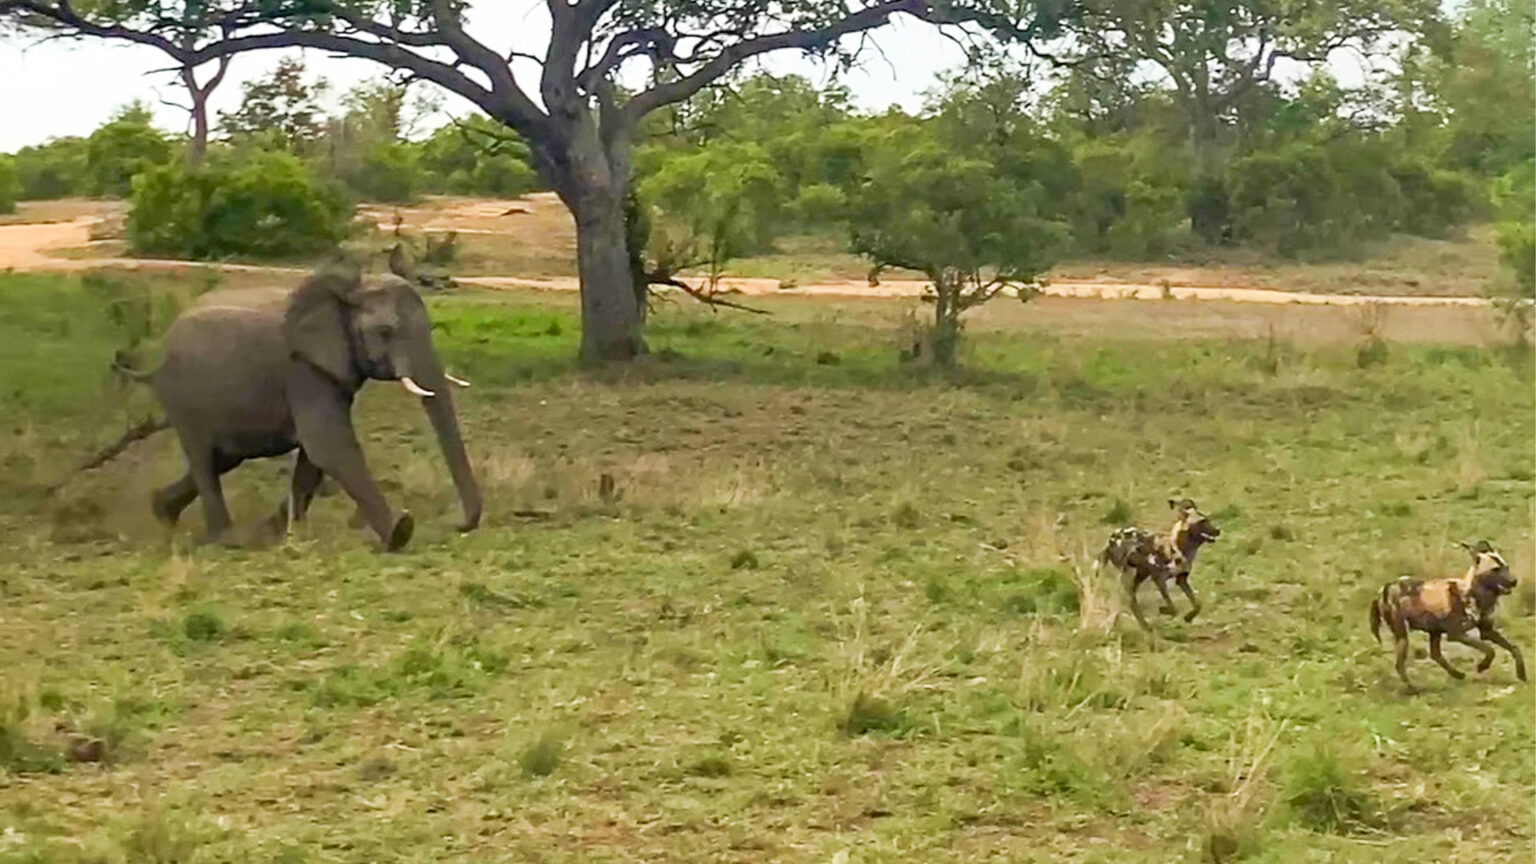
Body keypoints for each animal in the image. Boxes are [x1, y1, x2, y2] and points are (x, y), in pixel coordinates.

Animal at [115, 255, 481, 551]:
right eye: (385, 332)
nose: (459, 525)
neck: (348, 294)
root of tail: (158, 357)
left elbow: (315, 457)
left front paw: (279, 533)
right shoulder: (302, 369)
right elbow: (328, 445)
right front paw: (399, 534)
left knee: (223, 457)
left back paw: (163, 512)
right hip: (182, 397)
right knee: (204, 459)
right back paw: (226, 539)